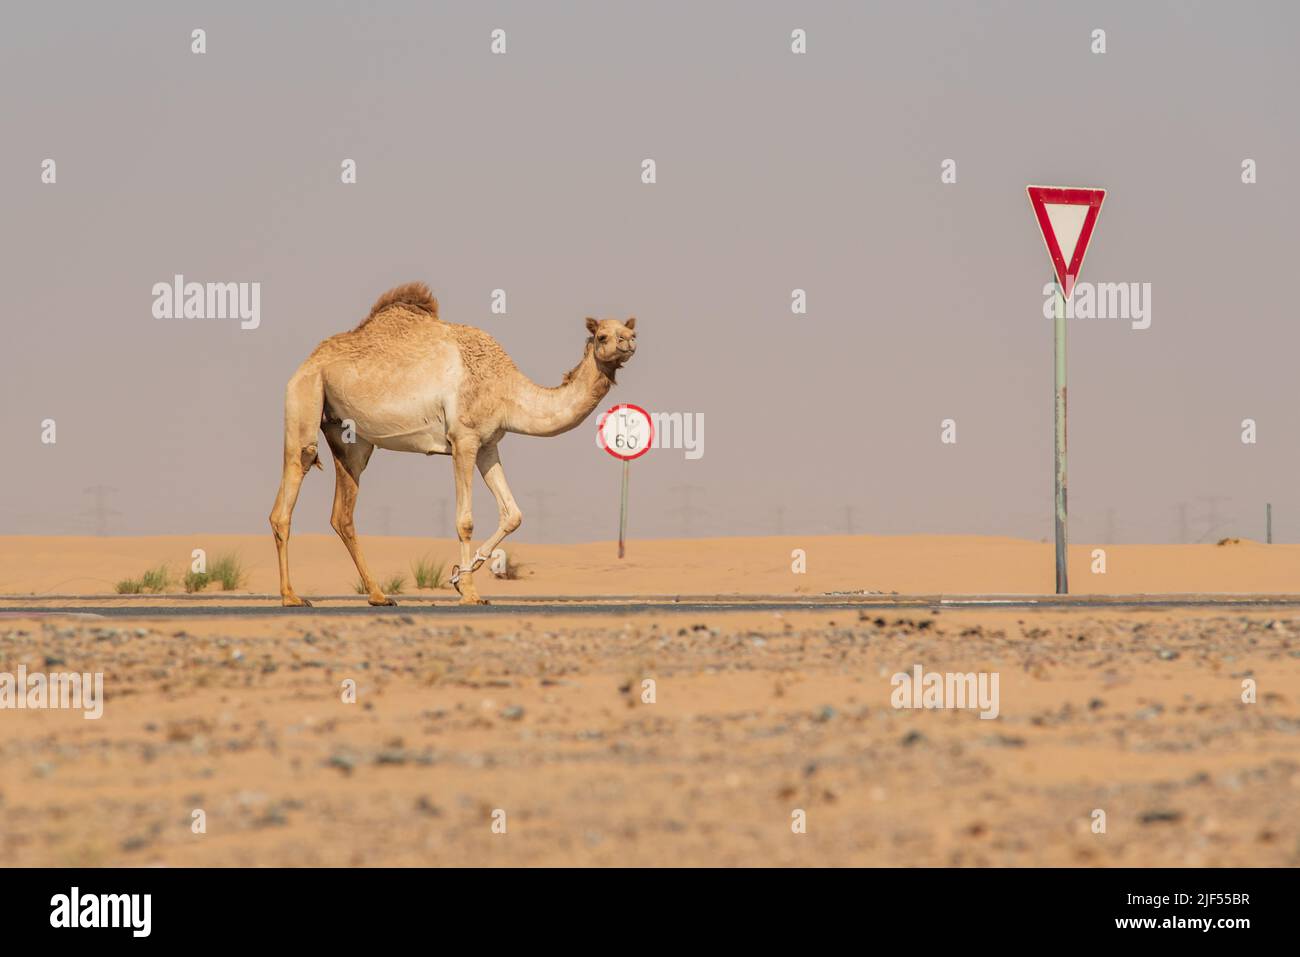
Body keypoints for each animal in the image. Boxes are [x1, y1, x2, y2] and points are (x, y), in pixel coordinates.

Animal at [269, 282, 637, 607]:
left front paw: (459, 577)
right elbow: (465, 520)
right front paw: (471, 593)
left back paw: (378, 595)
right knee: (294, 479)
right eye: (603, 336)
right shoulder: (464, 439)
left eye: (630, 332)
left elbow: (514, 514)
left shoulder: (488, 444)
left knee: (342, 515)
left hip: (352, 441)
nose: (629, 343)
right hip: (305, 396)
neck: (505, 387)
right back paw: (291, 597)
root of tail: (307, 363)